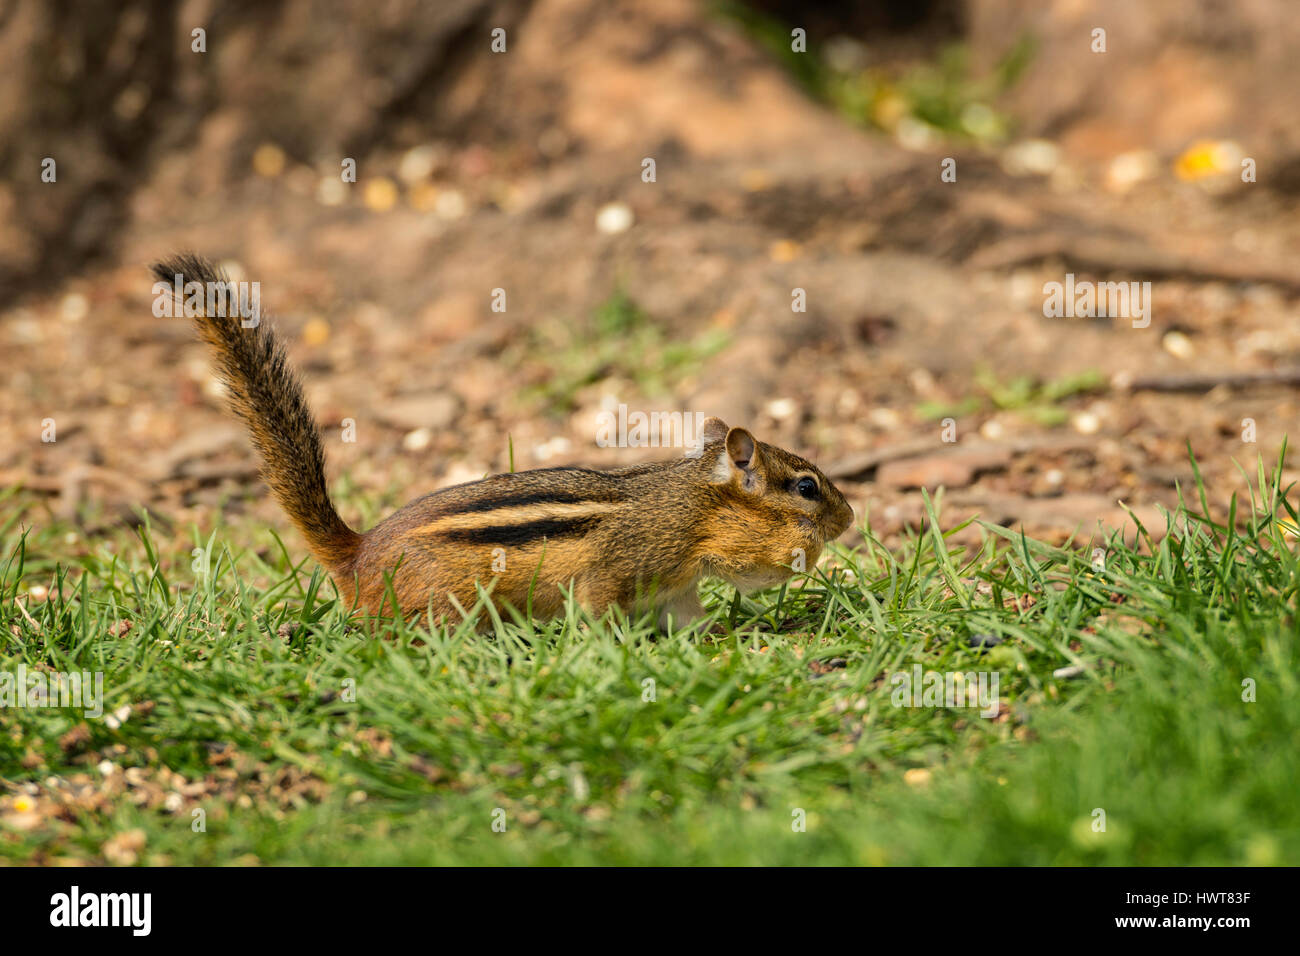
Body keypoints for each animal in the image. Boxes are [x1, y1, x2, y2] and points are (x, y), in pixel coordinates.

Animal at [152, 254, 854, 627]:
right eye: (806, 487)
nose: (850, 518)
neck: (691, 506)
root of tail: (356, 554)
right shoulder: (620, 570)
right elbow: (600, 611)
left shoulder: (676, 587)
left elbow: (691, 623)